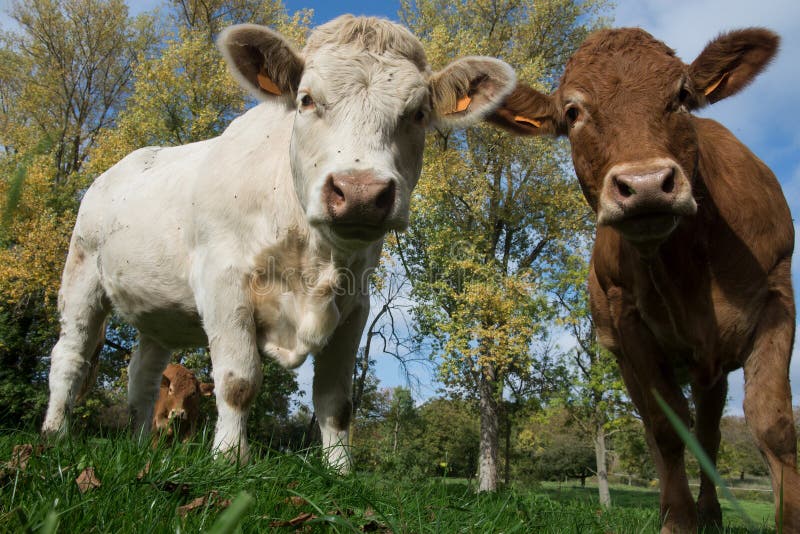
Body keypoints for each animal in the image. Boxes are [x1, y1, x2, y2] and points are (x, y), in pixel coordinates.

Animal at [40, 14, 516, 472]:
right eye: (306, 100)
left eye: (417, 113)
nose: (360, 192)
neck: (313, 259)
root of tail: (120, 166)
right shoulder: (222, 282)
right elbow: (238, 381)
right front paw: (230, 458)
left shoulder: (355, 304)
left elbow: (336, 401)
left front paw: (340, 471)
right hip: (81, 274)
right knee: (69, 356)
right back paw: (54, 434)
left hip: (158, 312)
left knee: (143, 372)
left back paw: (141, 447)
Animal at [489, 28, 797, 532]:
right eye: (573, 112)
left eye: (682, 96)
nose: (647, 184)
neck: (687, 266)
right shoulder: (629, 322)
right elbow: (665, 428)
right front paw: (678, 521)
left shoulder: (778, 298)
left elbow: (773, 426)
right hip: (628, 360)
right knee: (662, 431)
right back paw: (674, 507)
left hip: (711, 369)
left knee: (709, 434)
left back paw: (711, 513)